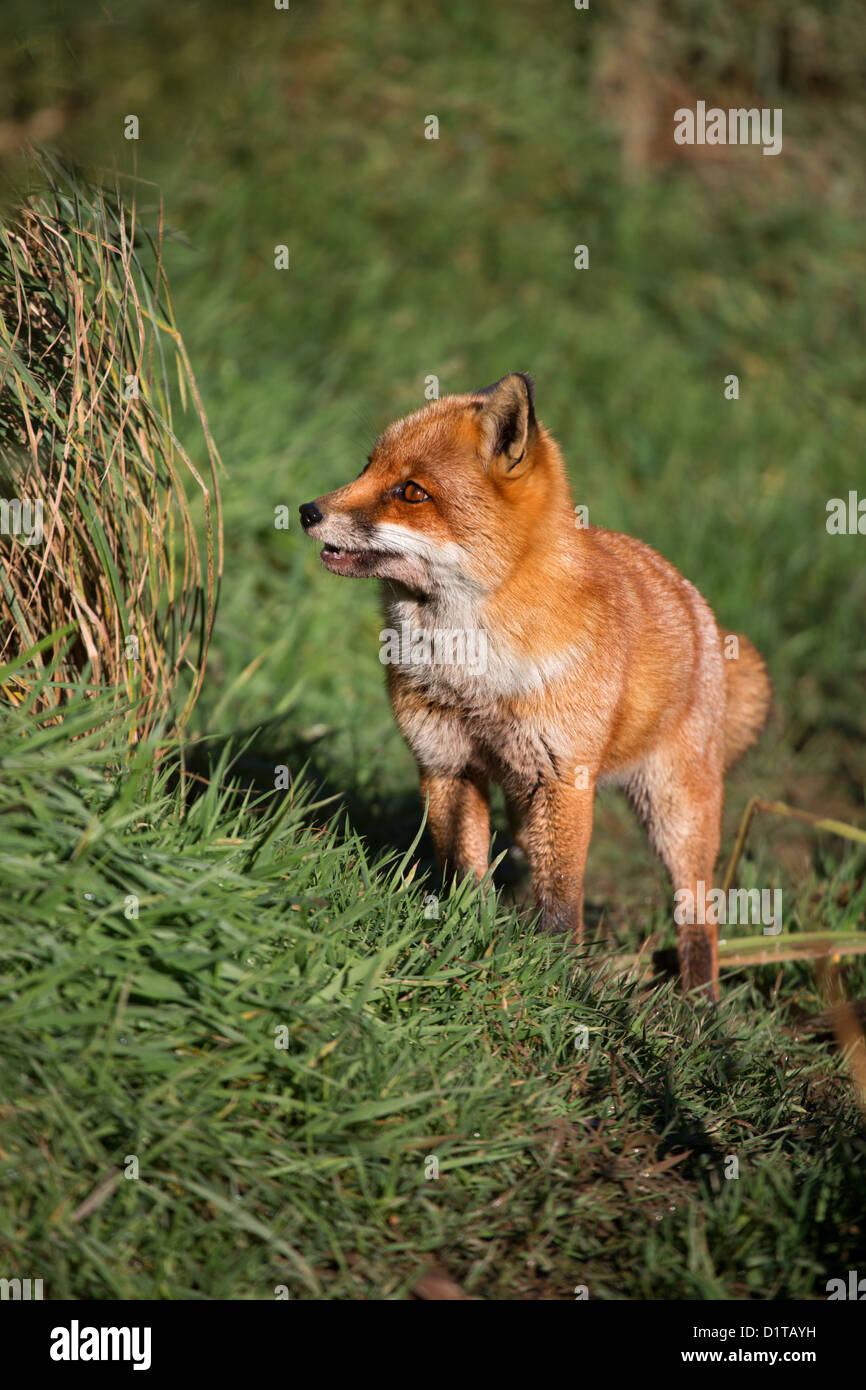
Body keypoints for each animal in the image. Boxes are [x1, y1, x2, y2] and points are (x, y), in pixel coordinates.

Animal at [299, 373, 771, 999]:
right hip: (527, 809)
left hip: (674, 814)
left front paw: (557, 977)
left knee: (701, 913)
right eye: (367, 467)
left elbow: (562, 905)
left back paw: (700, 1005)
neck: (473, 674)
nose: (306, 511)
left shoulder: (563, 780)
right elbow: (465, 873)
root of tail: (697, 608)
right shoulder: (445, 762)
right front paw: (467, 936)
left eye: (412, 492)